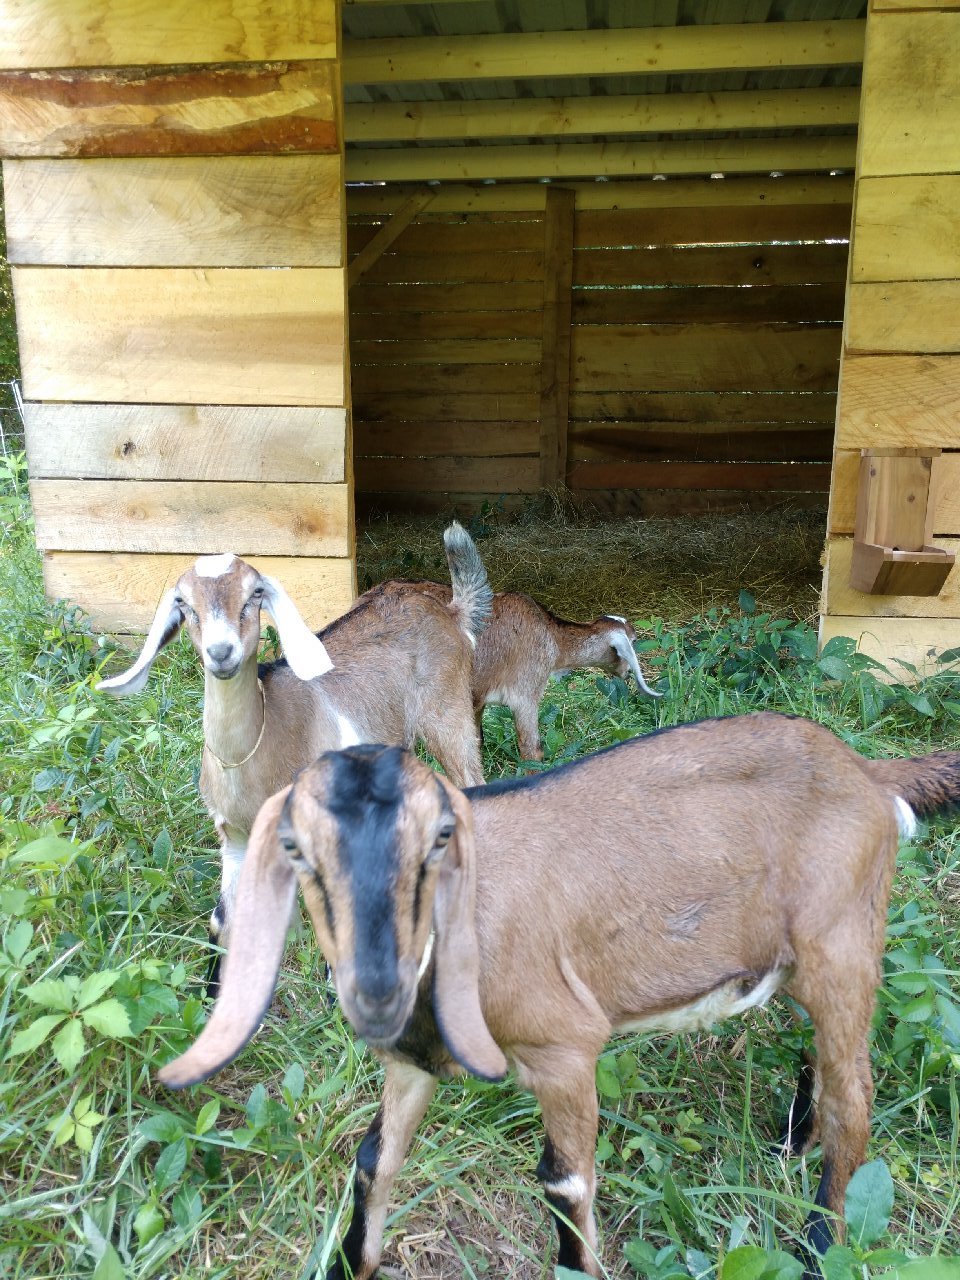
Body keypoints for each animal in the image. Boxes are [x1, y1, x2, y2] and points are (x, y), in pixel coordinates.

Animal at [96, 524, 489, 966]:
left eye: (254, 593)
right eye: (183, 602)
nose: (221, 652)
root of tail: (450, 611)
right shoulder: (235, 840)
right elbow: (226, 920)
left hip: (447, 714)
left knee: (471, 781)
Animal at [157, 712, 960, 1276]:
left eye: (440, 838)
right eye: (296, 849)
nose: (377, 987)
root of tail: (862, 770)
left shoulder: (565, 1048)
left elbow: (564, 1184)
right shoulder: (412, 1063)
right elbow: (373, 1158)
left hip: (842, 941)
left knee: (854, 1094)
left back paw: (819, 1246)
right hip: (799, 958)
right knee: (820, 1056)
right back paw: (793, 1142)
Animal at [408, 585, 662, 759]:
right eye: (634, 641)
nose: (628, 673)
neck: (552, 636)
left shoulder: (476, 698)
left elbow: (476, 742)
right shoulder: (525, 694)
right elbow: (532, 751)